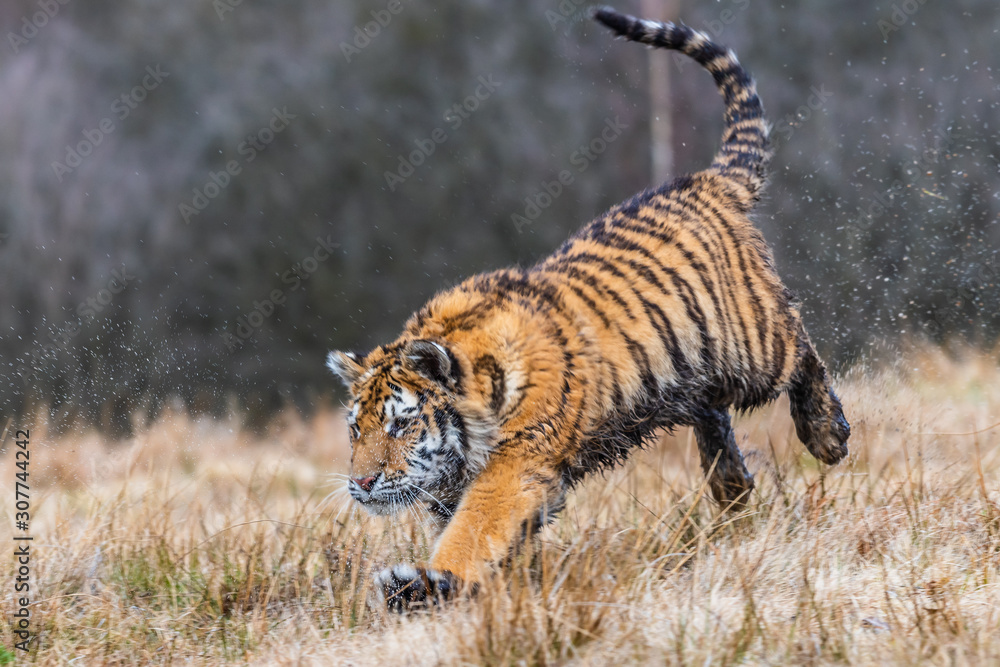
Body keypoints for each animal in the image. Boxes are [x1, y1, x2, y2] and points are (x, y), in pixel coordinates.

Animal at [327, 6, 850, 610]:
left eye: (402, 425)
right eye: (355, 431)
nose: (360, 484)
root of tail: (706, 180)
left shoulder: (514, 464)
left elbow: (471, 531)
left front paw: (426, 583)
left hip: (753, 347)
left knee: (801, 346)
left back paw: (827, 434)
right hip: (694, 372)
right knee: (714, 417)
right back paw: (733, 493)